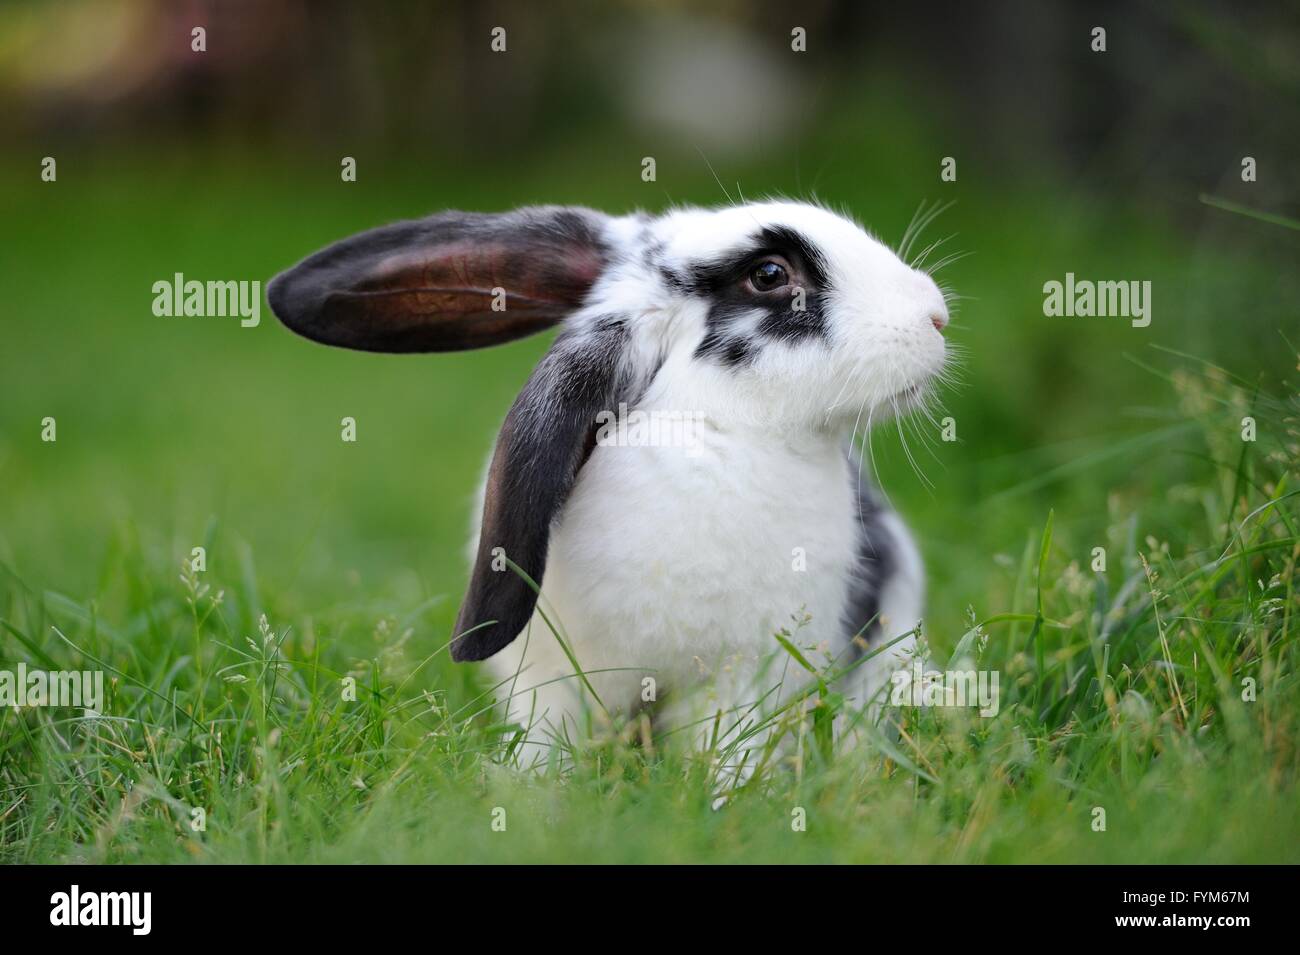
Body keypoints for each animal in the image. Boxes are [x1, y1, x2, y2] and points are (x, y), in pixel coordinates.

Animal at [268, 200, 949, 770]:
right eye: (770, 274)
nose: (937, 314)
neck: (714, 432)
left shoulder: (740, 680)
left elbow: (729, 755)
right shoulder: (546, 682)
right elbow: (545, 748)